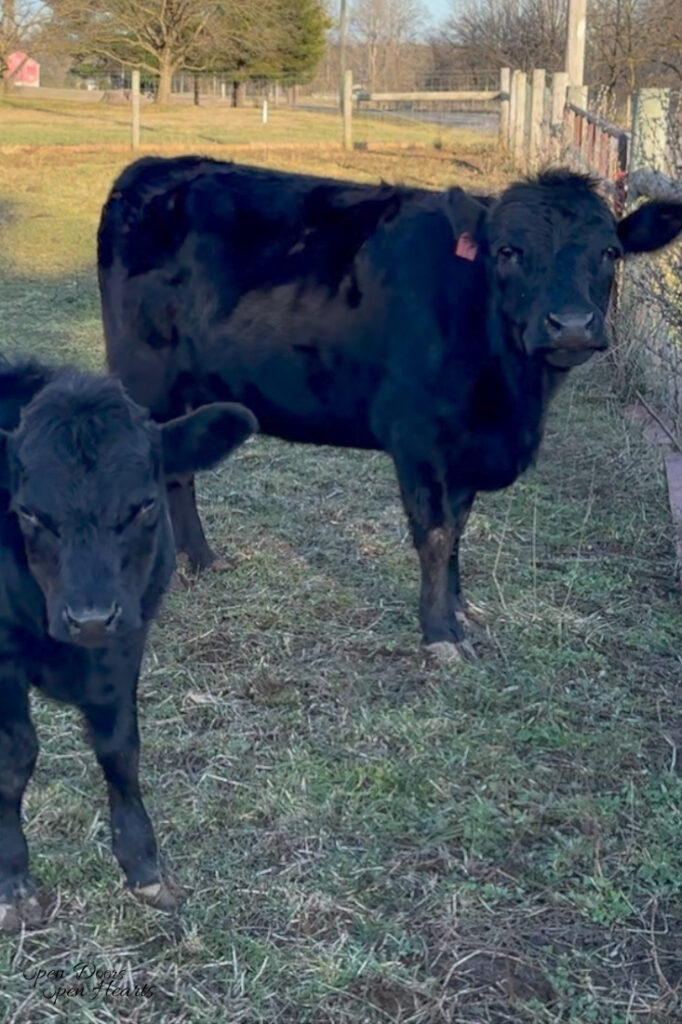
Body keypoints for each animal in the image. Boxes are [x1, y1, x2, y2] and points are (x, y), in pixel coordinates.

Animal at [0, 357, 256, 931]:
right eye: (28, 513)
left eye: (143, 507)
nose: (91, 618)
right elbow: (16, 755)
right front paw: (12, 880)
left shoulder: (129, 639)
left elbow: (120, 749)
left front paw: (143, 862)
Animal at [98, 158, 682, 662]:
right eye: (508, 251)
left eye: (610, 252)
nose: (572, 324)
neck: (512, 402)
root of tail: (153, 167)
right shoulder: (419, 438)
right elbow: (435, 534)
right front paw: (440, 634)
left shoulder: (465, 451)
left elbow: (458, 532)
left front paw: (461, 611)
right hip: (145, 379)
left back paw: (201, 560)